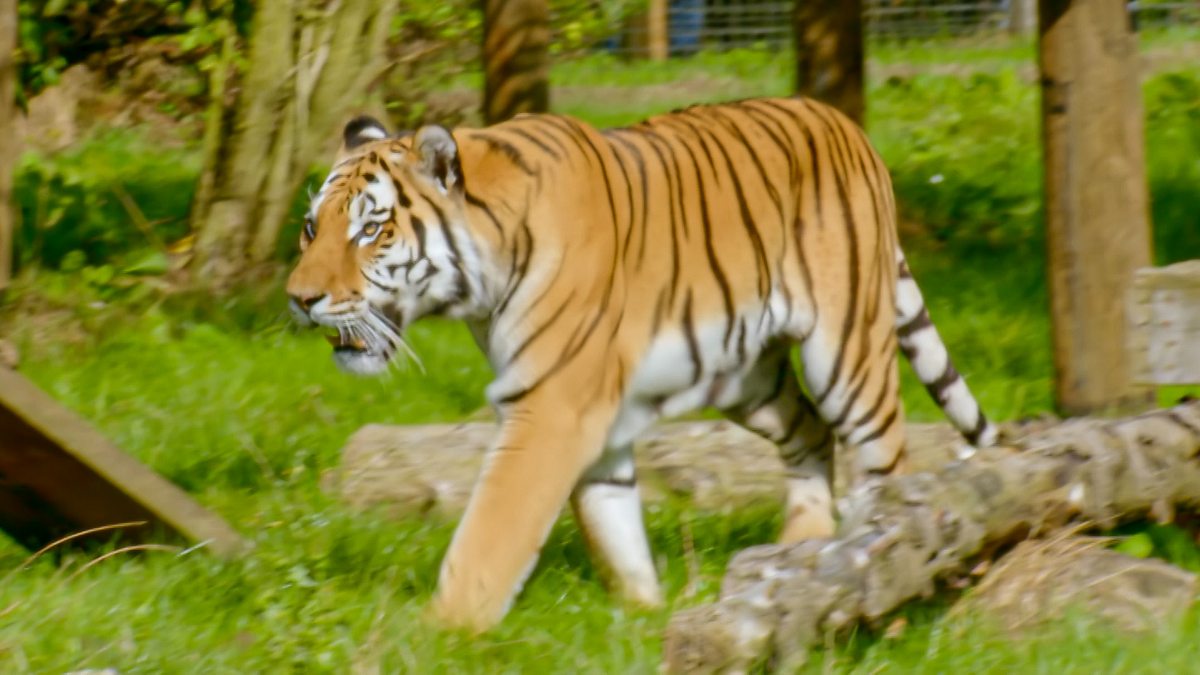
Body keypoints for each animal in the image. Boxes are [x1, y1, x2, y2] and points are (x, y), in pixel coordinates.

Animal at [285, 96, 998, 632]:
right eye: (311, 228)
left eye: (371, 231)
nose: (298, 298)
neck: (480, 288)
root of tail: (846, 124)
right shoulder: (590, 417)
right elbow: (612, 523)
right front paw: (645, 613)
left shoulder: (552, 406)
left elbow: (491, 532)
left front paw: (443, 631)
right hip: (748, 378)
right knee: (811, 434)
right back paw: (799, 551)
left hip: (845, 356)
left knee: (887, 465)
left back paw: (880, 584)